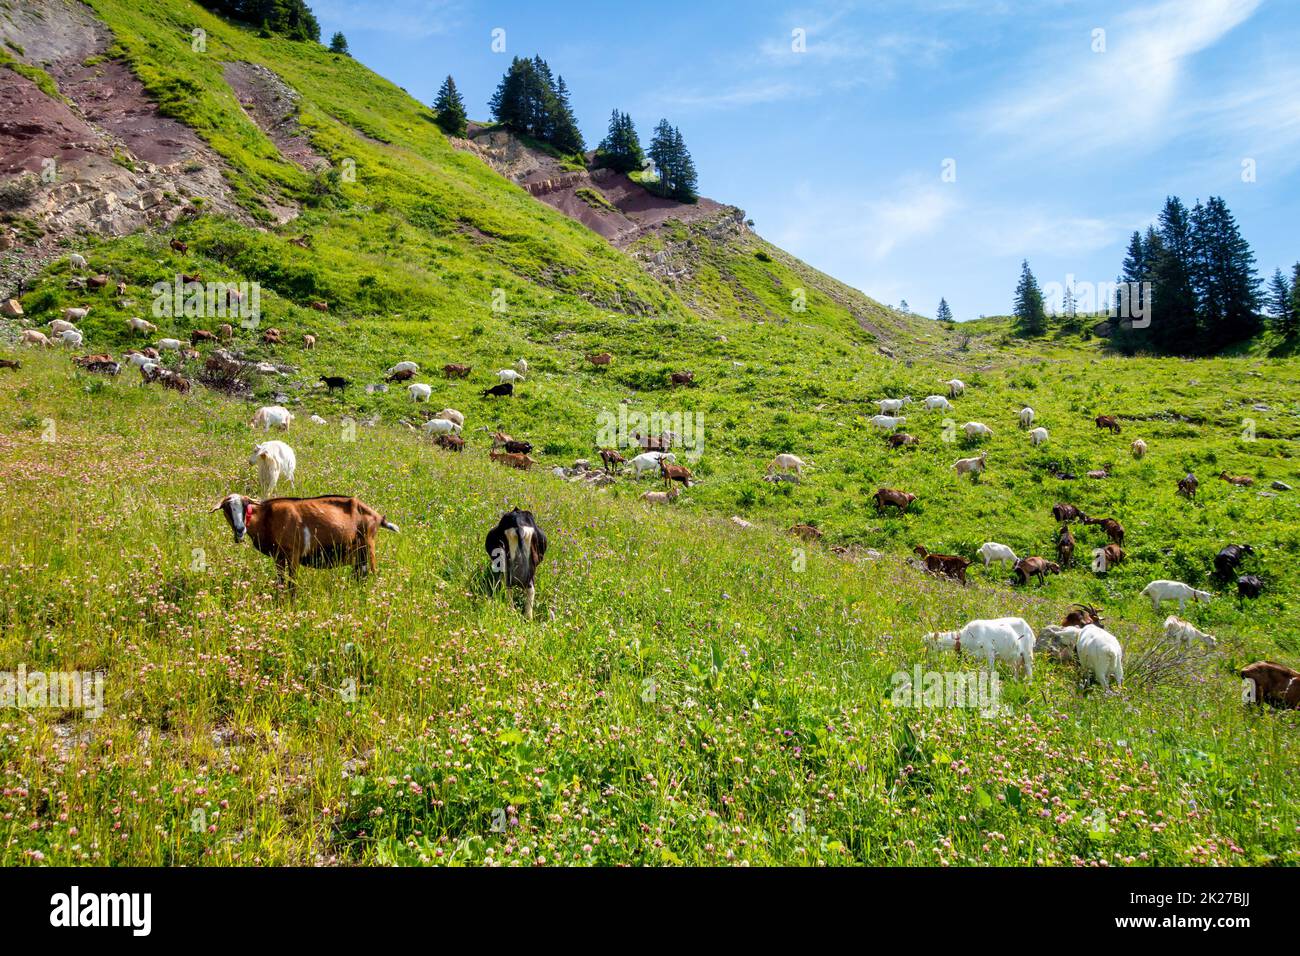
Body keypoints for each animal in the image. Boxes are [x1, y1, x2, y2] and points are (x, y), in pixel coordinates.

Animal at [213, 494, 398, 589]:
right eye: (226, 509)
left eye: (245, 505)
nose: (239, 529)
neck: (268, 517)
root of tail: (377, 516)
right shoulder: (278, 557)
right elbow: (281, 582)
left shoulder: (293, 553)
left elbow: (292, 583)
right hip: (359, 556)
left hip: (369, 547)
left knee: (373, 574)